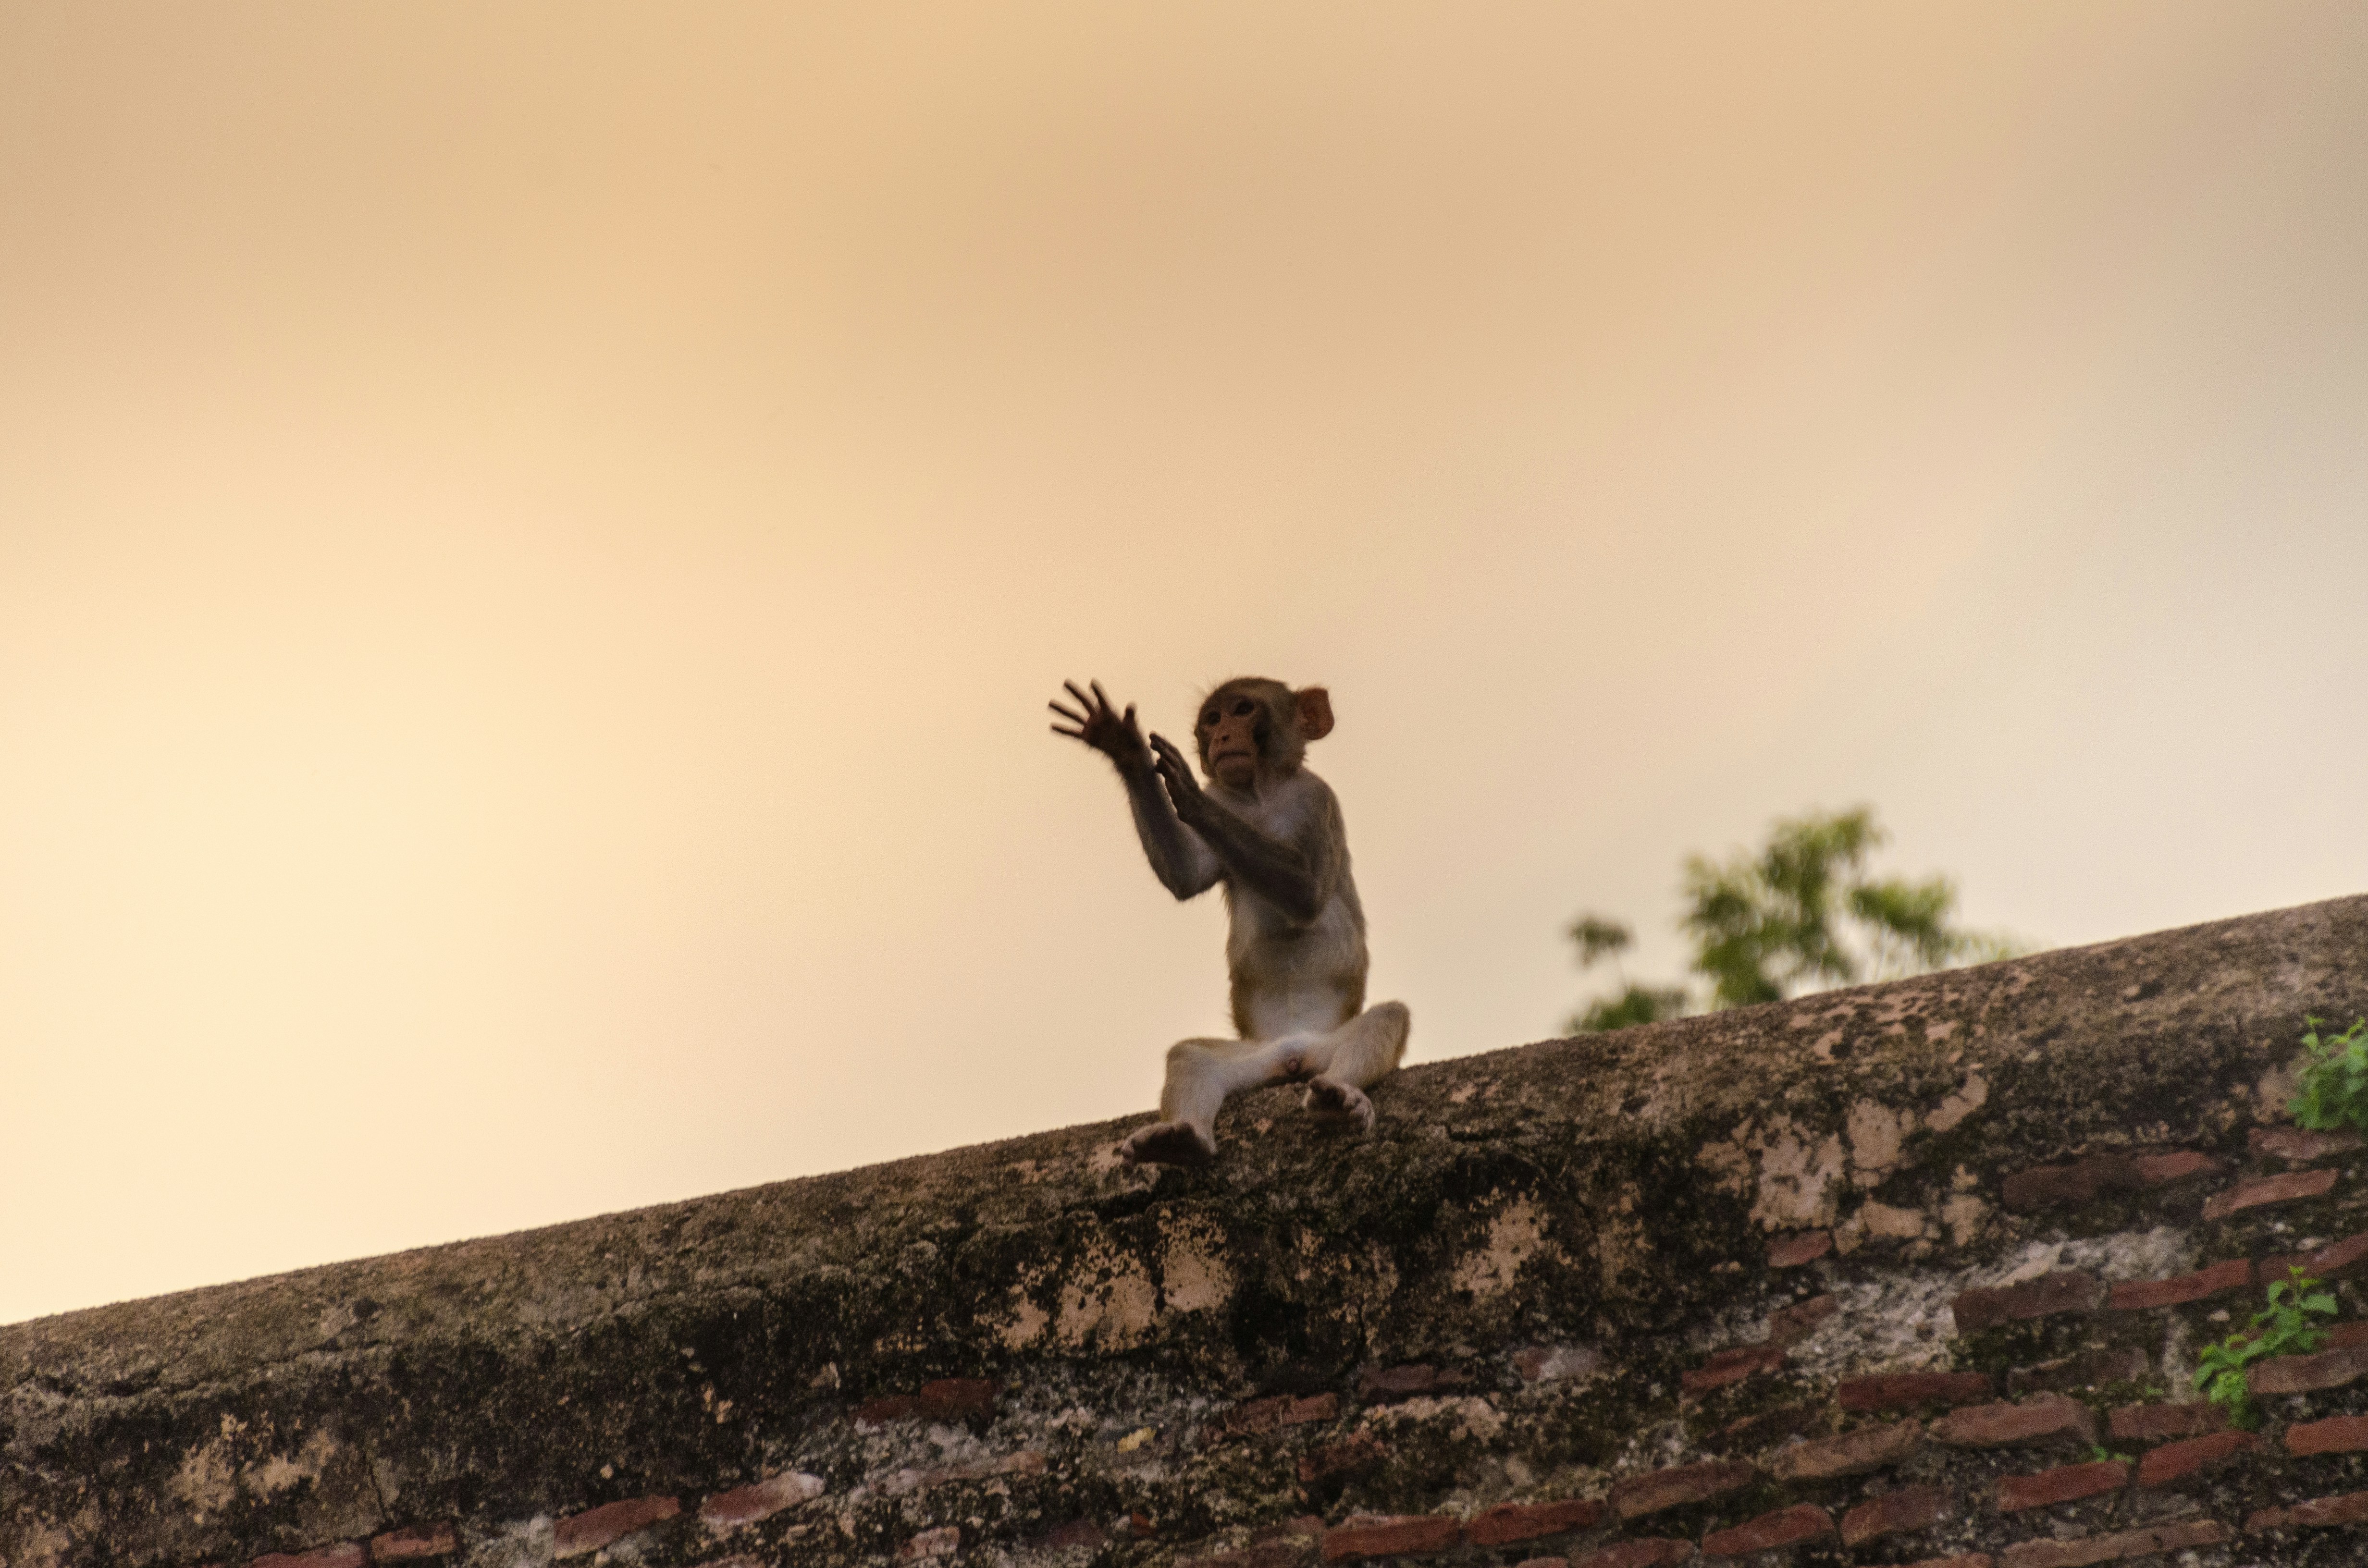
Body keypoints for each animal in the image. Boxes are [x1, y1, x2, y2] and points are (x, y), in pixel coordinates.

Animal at [1049, 677, 1411, 1165]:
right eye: (1213, 719)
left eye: (1242, 710)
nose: (1221, 737)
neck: (1260, 796)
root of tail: (1294, 1053)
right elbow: (1186, 874)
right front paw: (1123, 745)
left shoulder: (1316, 799)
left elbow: (1307, 892)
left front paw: (1190, 794)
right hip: (1253, 1059)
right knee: (1190, 1058)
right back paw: (1183, 1138)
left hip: (1328, 1046)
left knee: (1385, 1021)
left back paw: (1339, 1097)